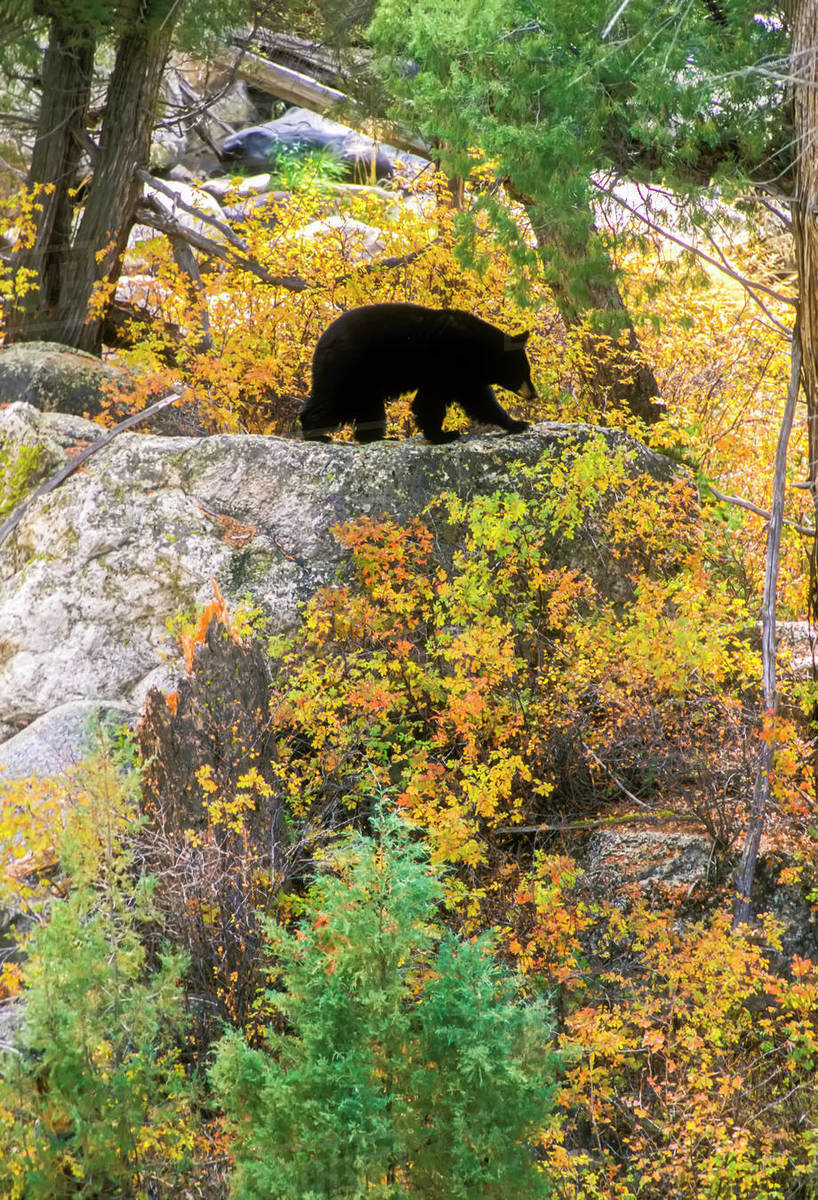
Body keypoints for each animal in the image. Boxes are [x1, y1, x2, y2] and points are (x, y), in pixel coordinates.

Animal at [299, 302, 536, 444]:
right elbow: (438, 401)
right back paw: (316, 434)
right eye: (524, 372)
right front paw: (444, 435)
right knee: (335, 400)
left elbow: (475, 400)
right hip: (351, 367)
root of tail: (321, 342)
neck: (478, 350)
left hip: (366, 380)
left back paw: (378, 438)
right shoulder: (448, 363)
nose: (534, 394)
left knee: (369, 407)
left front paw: (515, 423)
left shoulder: (462, 375)